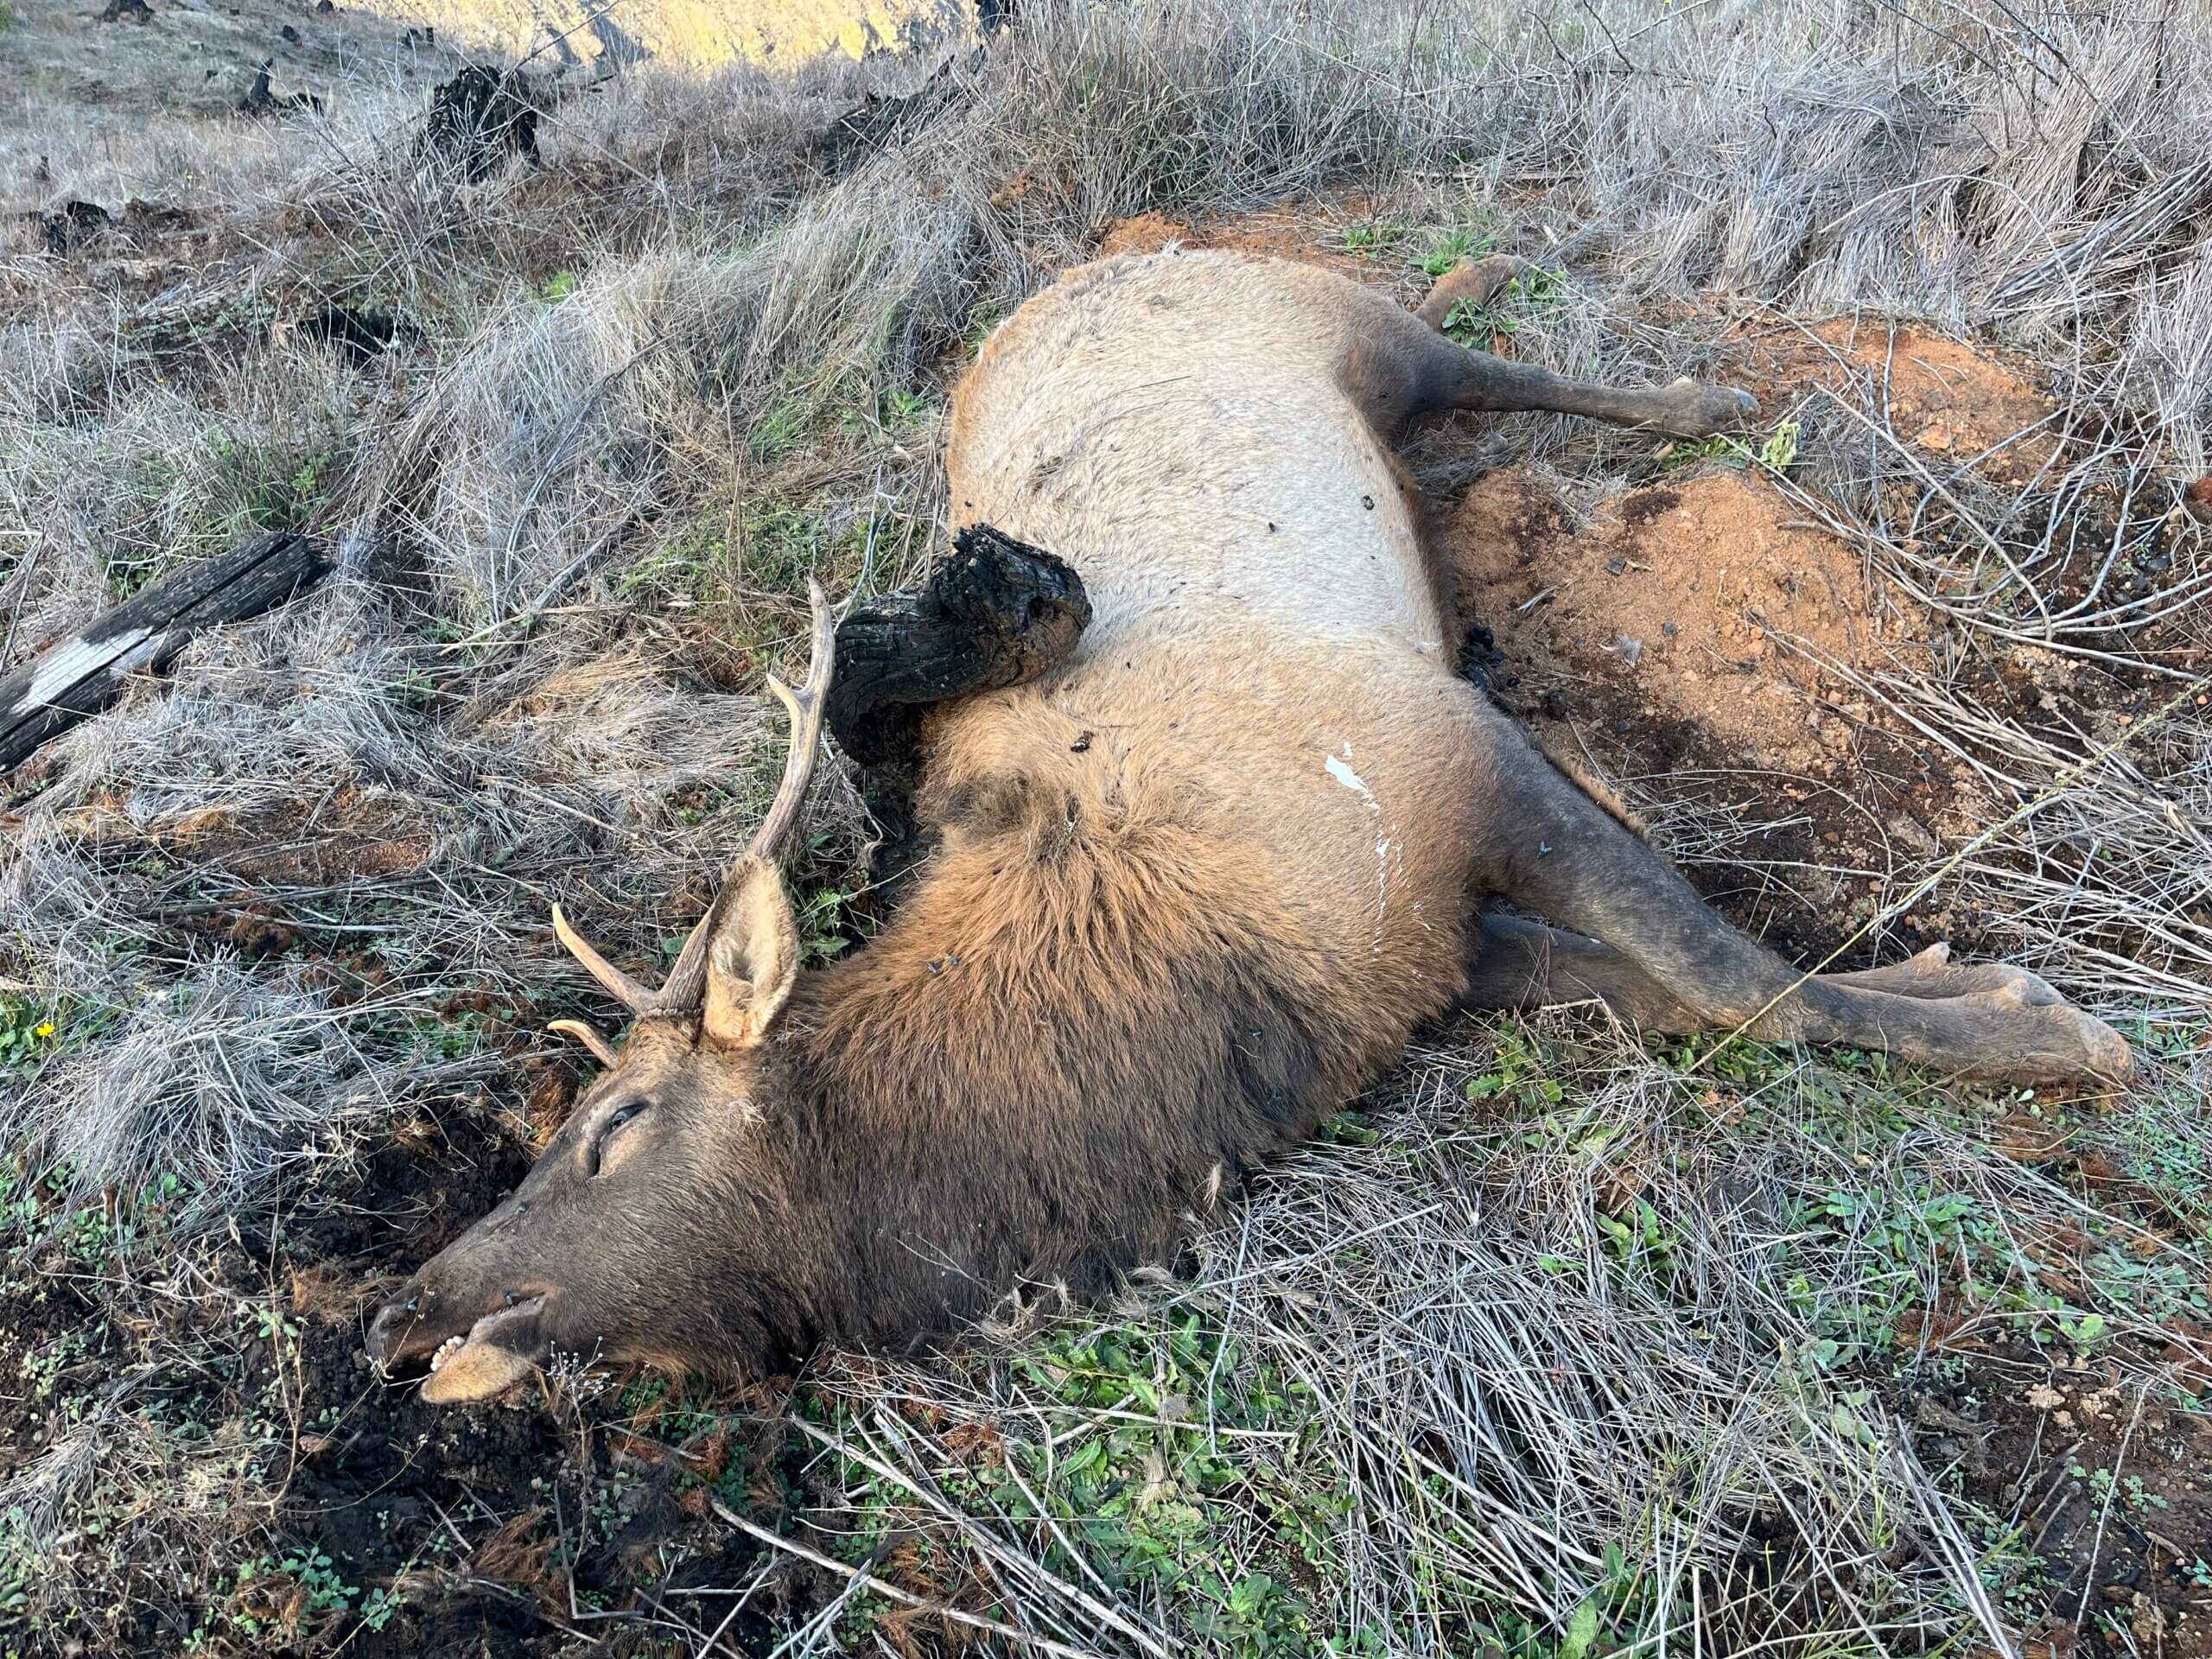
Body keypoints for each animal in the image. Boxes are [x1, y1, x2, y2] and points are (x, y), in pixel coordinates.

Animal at [365, 249, 2132, 1403]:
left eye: (613, 1126)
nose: (406, 1308)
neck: (1193, 975)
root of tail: (1094, 260)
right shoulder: (1439, 949)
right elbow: (1680, 995)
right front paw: (1955, 974)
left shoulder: (1452, 752)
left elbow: (1747, 982)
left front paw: (2046, 1027)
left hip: (1342, 317)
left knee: (1496, 359)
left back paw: (1708, 388)